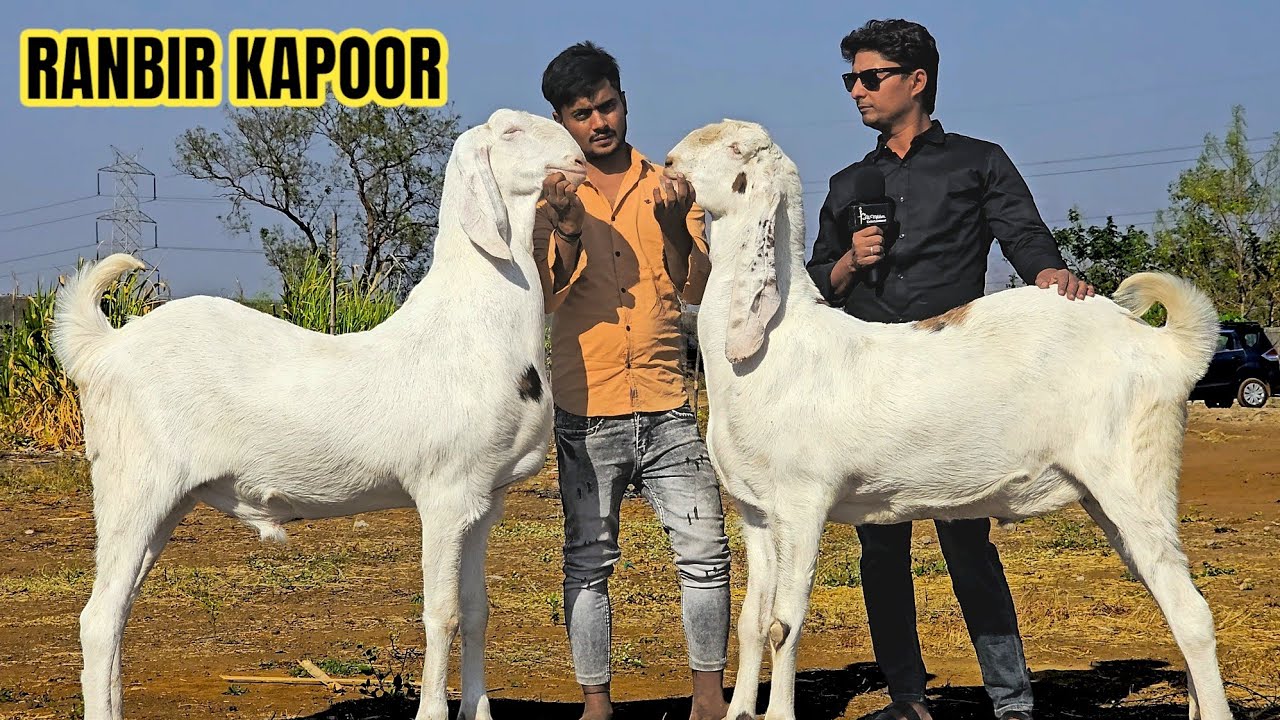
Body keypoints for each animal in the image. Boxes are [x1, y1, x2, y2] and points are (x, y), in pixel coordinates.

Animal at [52, 108, 586, 720]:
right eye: (511, 132)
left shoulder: (483, 500)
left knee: (118, 614)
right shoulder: (444, 496)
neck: (473, 322)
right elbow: (442, 614)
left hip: (165, 502)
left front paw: (478, 710)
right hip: (133, 485)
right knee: (98, 619)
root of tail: (105, 348)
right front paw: (432, 711)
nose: (578, 158)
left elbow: (476, 612)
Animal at [665, 120, 1232, 720]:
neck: (773, 342)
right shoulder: (755, 511)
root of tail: (1164, 348)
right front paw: (739, 712)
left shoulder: (801, 504)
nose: (670, 163)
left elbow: (782, 625)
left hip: (1133, 479)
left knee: (1192, 613)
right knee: (1169, 599)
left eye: (734, 148)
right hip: (1107, 499)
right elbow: (751, 623)